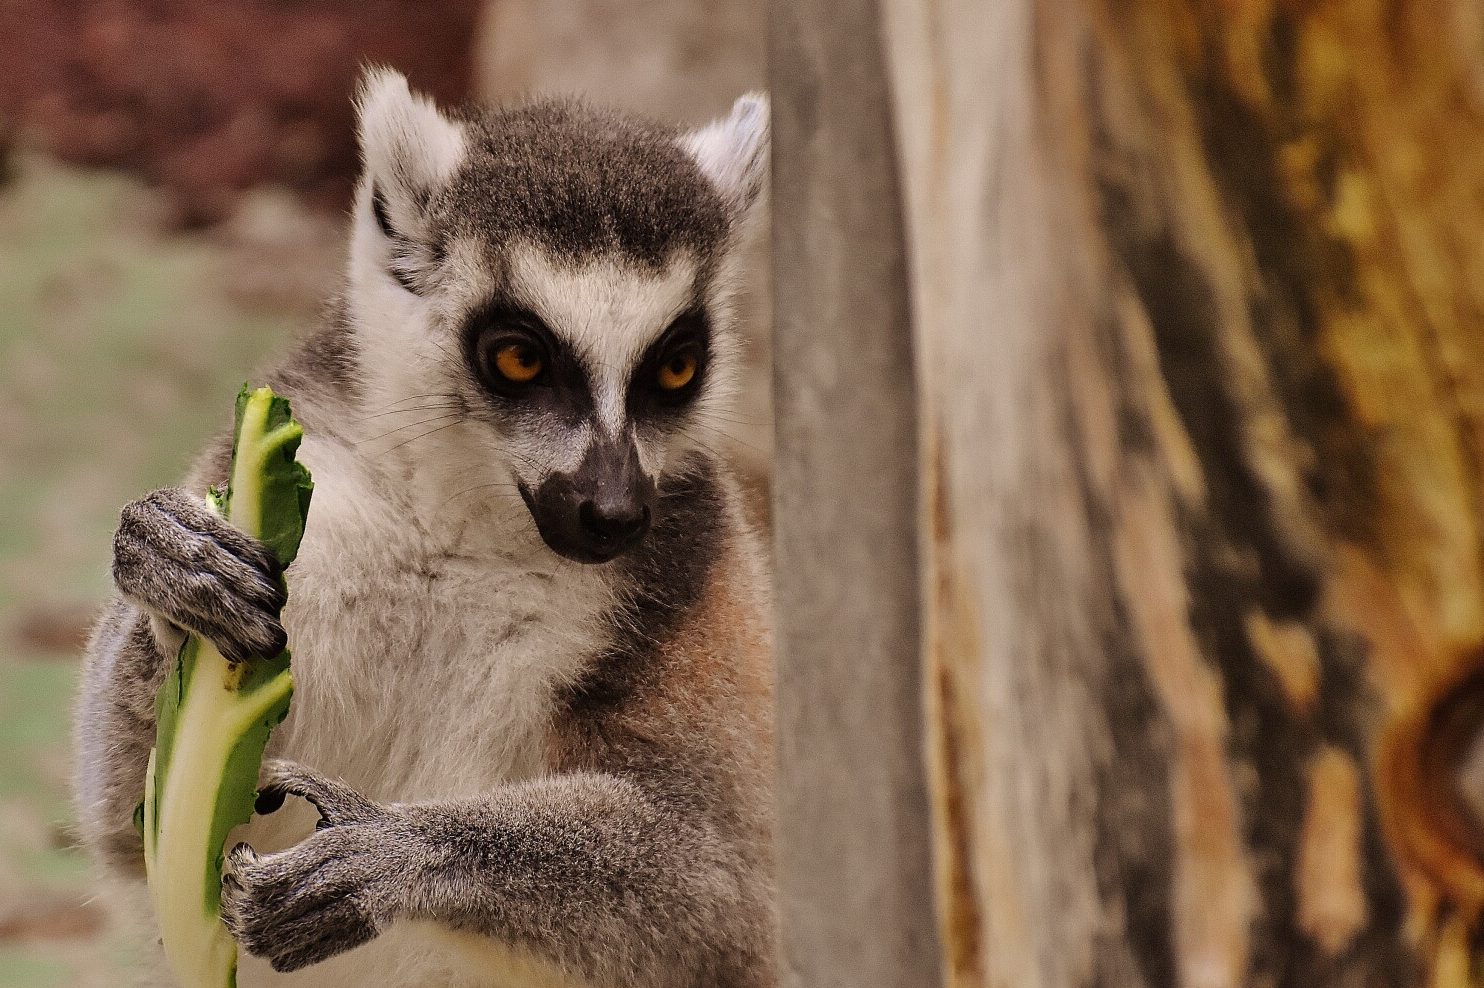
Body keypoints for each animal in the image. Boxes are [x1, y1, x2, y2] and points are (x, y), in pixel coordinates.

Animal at [73, 68, 775, 988]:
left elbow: (718, 889)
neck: (459, 527)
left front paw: (392, 857)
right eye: (518, 358)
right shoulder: (324, 509)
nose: (615, 512)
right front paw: (170, 568)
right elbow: (128, 823)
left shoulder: (692, 568)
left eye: (677, 368)